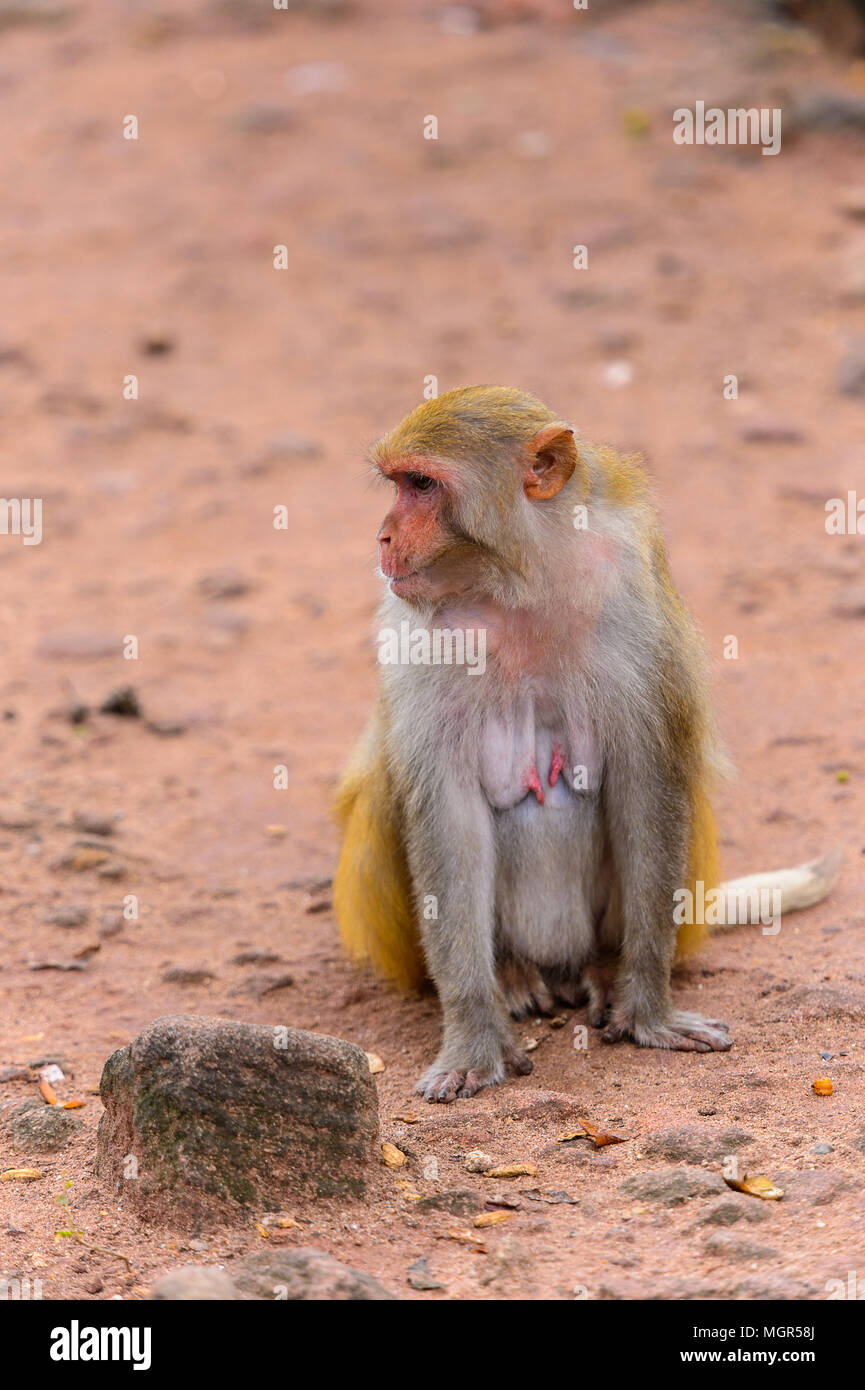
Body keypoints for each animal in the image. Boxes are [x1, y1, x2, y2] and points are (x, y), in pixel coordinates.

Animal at [333, 386, 839, 1103]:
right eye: (399, 483)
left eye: (421, 485)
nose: (381, 536)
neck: (521, 581)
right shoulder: (422, 632)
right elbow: (446, 813)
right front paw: (473, 1035)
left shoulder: (629, 601)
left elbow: (647, 782)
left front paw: (648, 1009)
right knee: (390, 790)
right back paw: (511, 972)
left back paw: (603, 966)